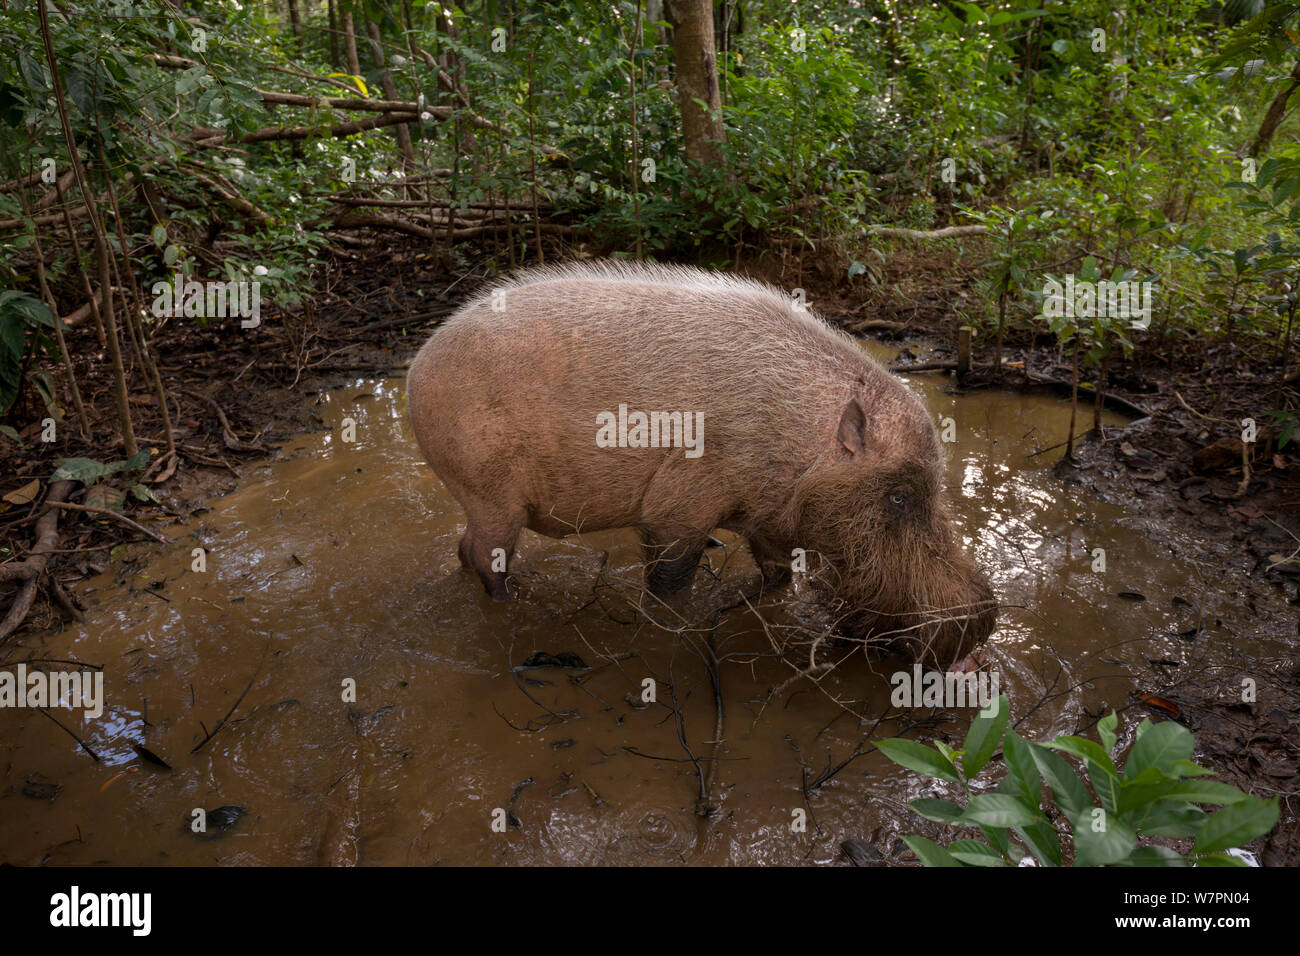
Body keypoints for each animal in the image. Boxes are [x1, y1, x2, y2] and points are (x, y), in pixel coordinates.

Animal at [406, 261, 996, 668]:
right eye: (899, 496)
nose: (979, 622)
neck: (795, 451)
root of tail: (416, 366)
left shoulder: (764, 518)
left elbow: (779, 573)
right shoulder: (677, 504)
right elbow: (670, 580)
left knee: (463, 550)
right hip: (489, 489)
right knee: (485, 558)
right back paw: (515, 605)